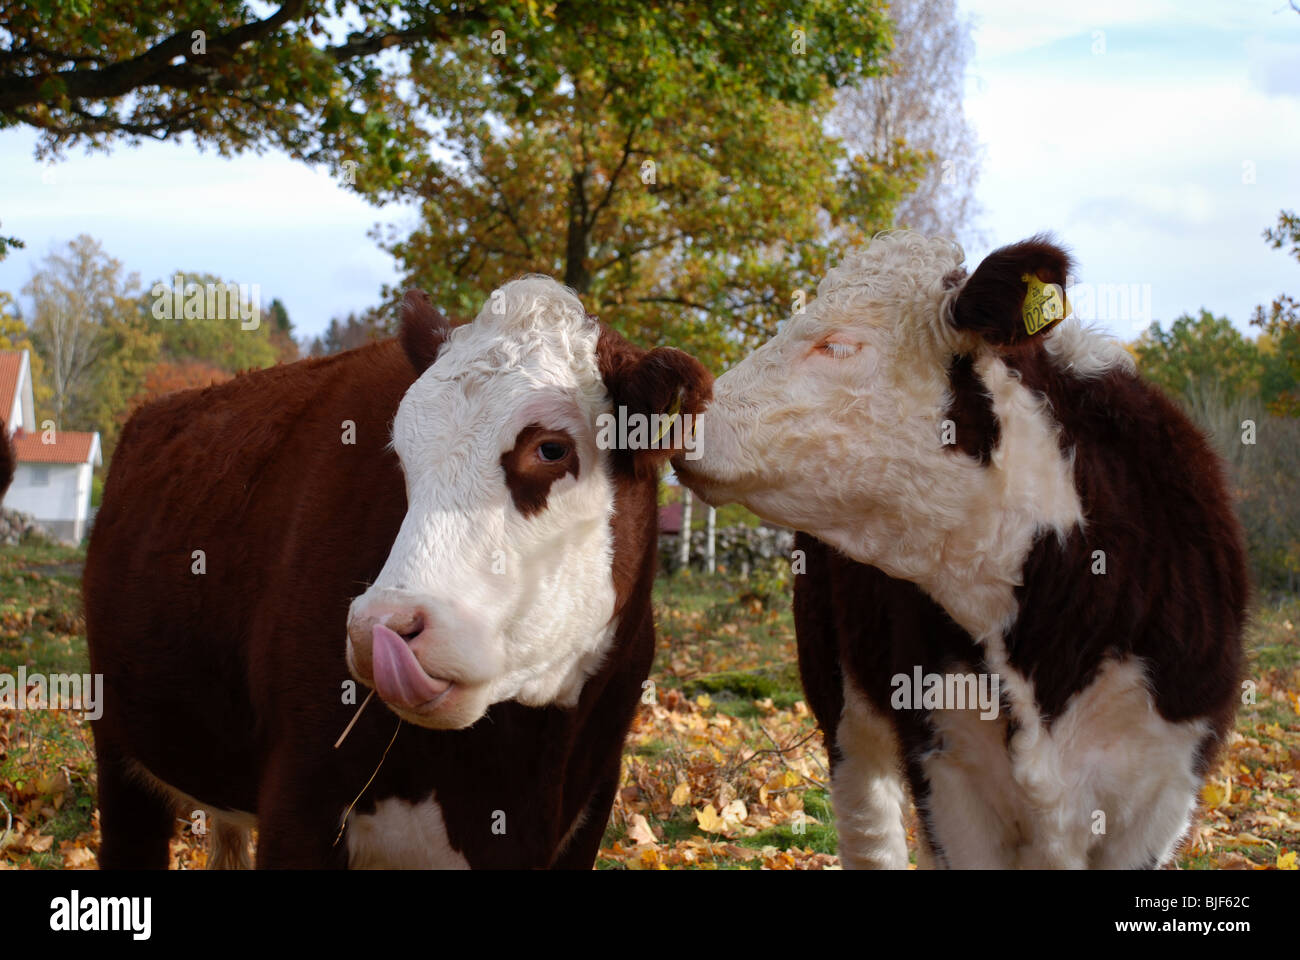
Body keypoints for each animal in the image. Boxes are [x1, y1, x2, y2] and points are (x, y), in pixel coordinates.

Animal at [84, 276, 711, 869]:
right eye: (402, 452)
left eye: (551, 448)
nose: (378, 629)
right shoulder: (300, 800)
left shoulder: (589, 809)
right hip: (119, 751)